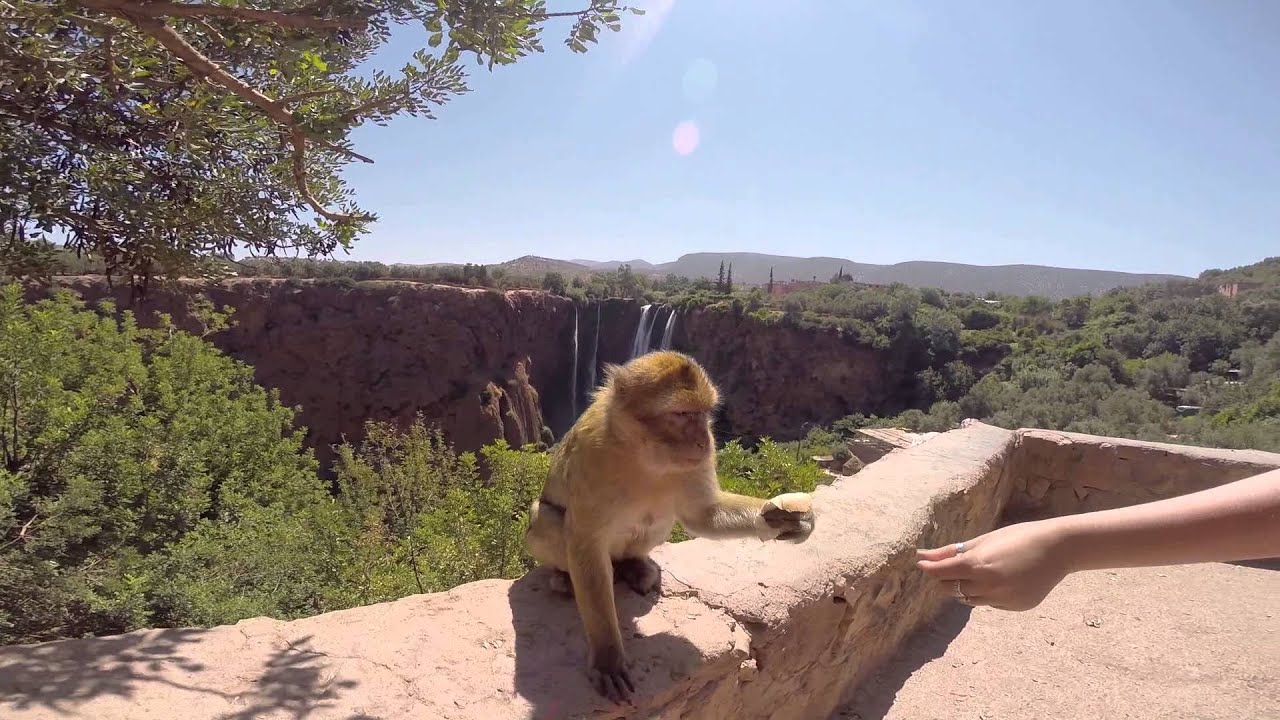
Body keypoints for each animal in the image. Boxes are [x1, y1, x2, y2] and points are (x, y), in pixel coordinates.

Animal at [524, 350, 815, 703]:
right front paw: (608, 657)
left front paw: (786, 520)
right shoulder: (590, 453)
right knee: (549, 518)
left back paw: (632, 565)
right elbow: (585, 542)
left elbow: (704, 514)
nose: (704, 440)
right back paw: (565, 577)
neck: (642, 453)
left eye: (704, 414)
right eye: (682, 413)